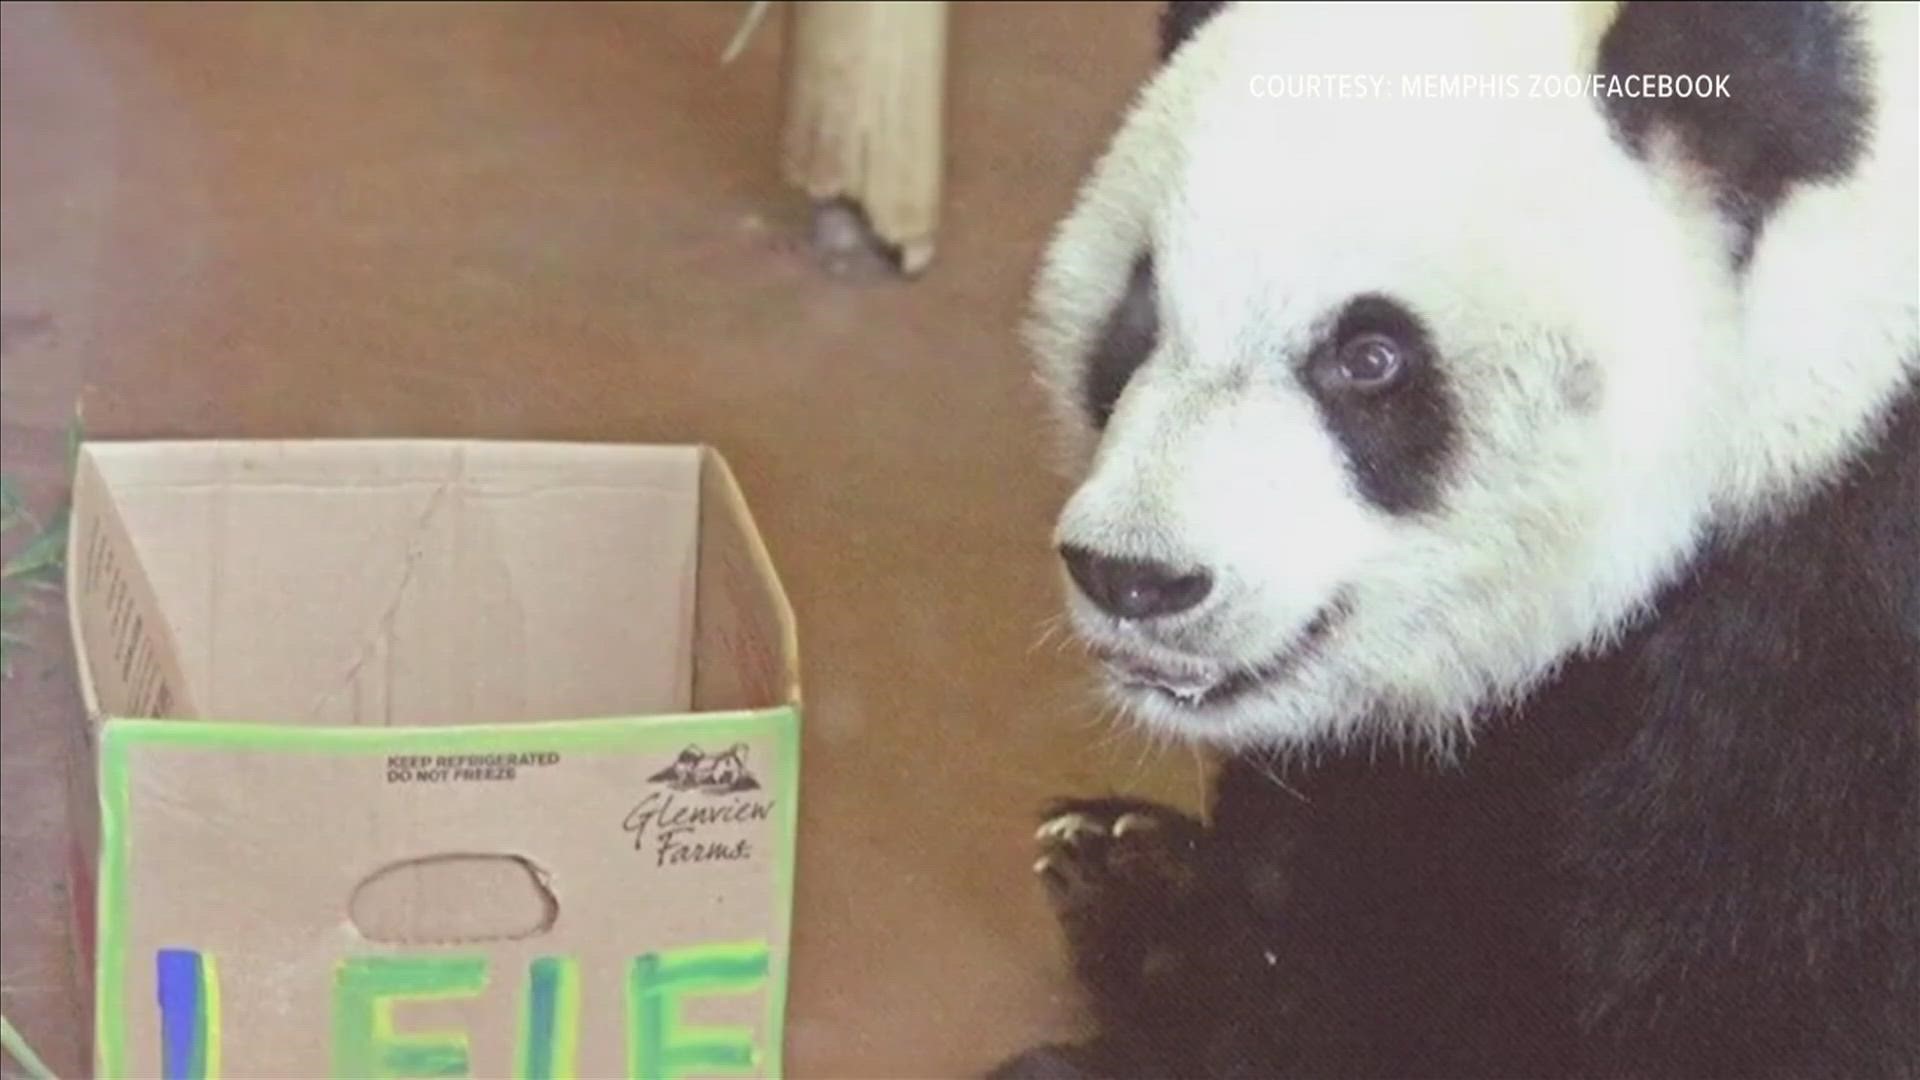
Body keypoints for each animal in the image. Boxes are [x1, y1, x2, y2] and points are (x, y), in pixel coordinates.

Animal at [993, 2, 1917, 1078]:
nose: (1134, 576)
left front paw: (1172, 944)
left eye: (1370, 357)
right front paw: (1138, 878)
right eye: (1138, 320)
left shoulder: (1840, 650)